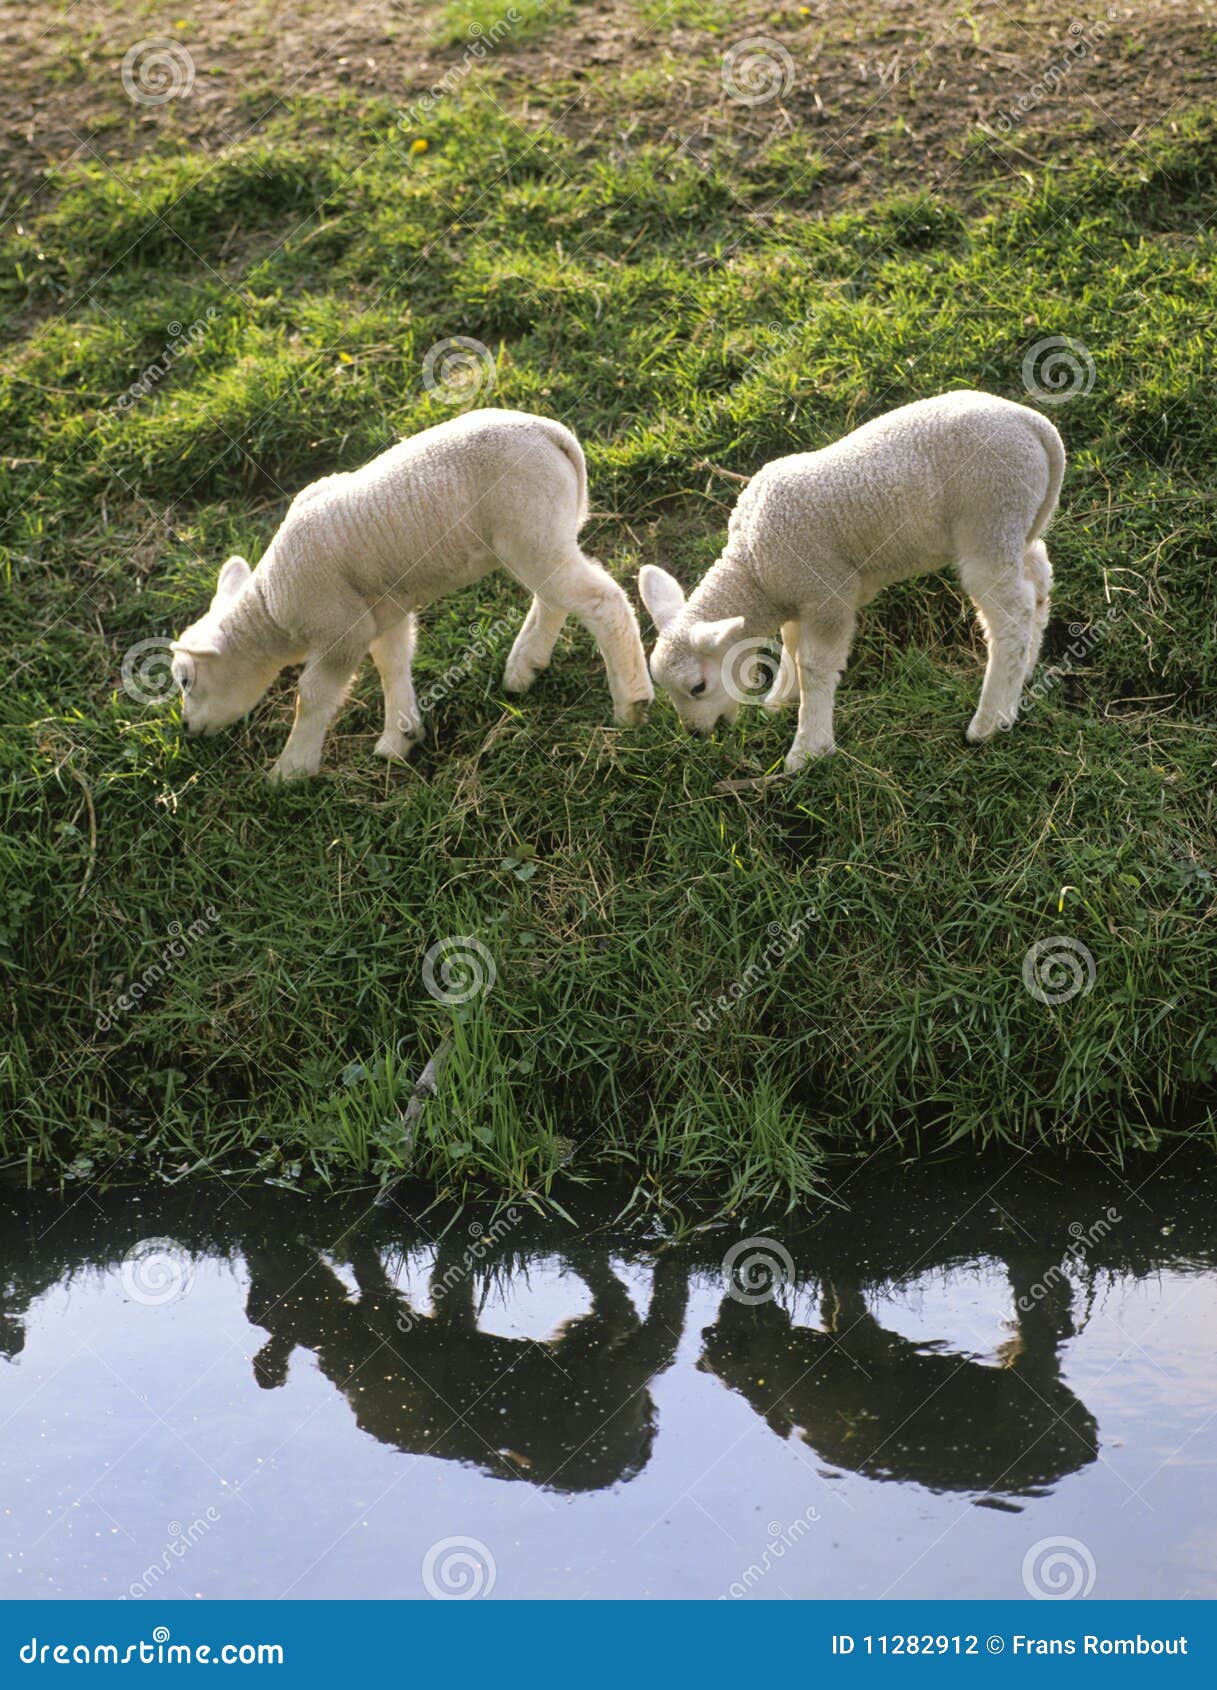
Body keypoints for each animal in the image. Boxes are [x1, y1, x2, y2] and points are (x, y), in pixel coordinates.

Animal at [169, 408, 653, 781]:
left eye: (185, 679)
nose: (188, 729)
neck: (271, 609)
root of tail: (552, 434)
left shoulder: (340, 628)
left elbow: (314, 694)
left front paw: (290, 770)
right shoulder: (384, 613)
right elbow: (392, 664)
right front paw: (399, 736)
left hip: (529, 528)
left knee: (601, 601)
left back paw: (631, 703)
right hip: (540, 534)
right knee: (555, 597)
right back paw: (525, 666)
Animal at [639, 390, 1065, 773]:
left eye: (698, 687)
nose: (696, 733)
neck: (754, 572)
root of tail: (1036, 425)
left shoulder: (826, 595)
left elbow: (815, 666)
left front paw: (807, 748)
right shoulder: (799, 598)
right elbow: (791, 645)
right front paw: (781, 699)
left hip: (989, 517)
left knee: (1010, 616)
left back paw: (991, 720)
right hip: (1017, 523)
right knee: (1037, 580)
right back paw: (1026, 669)